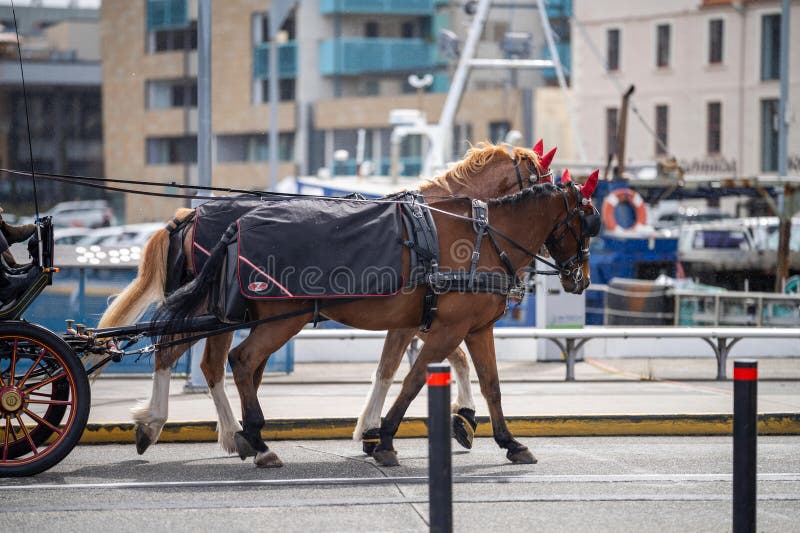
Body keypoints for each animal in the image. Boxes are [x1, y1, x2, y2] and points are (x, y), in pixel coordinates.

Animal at [95, 141, 558, 456]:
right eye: (543, 179)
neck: (436, 222)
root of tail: (190, 214)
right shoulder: (424, 318)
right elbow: (422, 363)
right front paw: (410, 423)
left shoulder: (415, 318)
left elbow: (407, 366)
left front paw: (438, 419)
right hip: (221, 312)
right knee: (186, 357)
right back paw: (185, 426)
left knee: (203, 361)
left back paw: (228, 431)